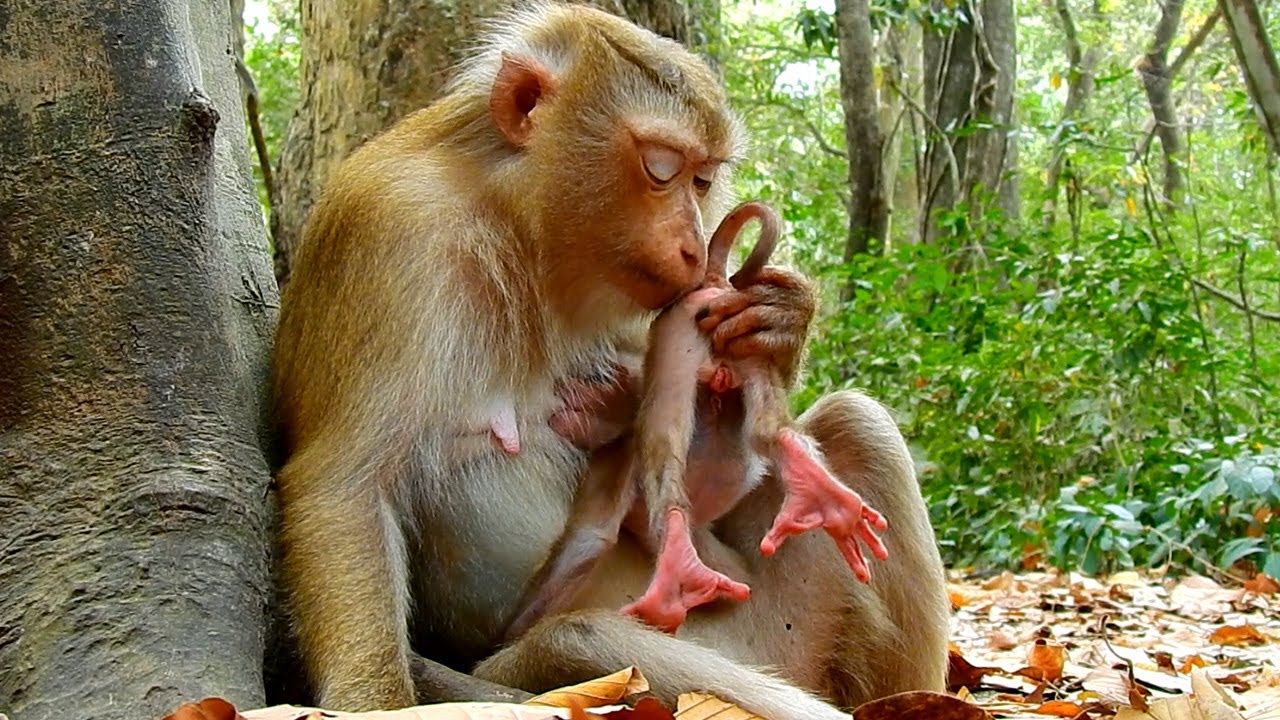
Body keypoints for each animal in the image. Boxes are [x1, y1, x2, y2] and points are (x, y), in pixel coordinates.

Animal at [505, 201, 889, 639]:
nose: (565, 411)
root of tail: (713, 279)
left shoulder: (604, 478)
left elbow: (585, 545)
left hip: (677, 327)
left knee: (663, 436)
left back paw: (674, 565)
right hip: (728, 335)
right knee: (762, 428)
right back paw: (820, 491)